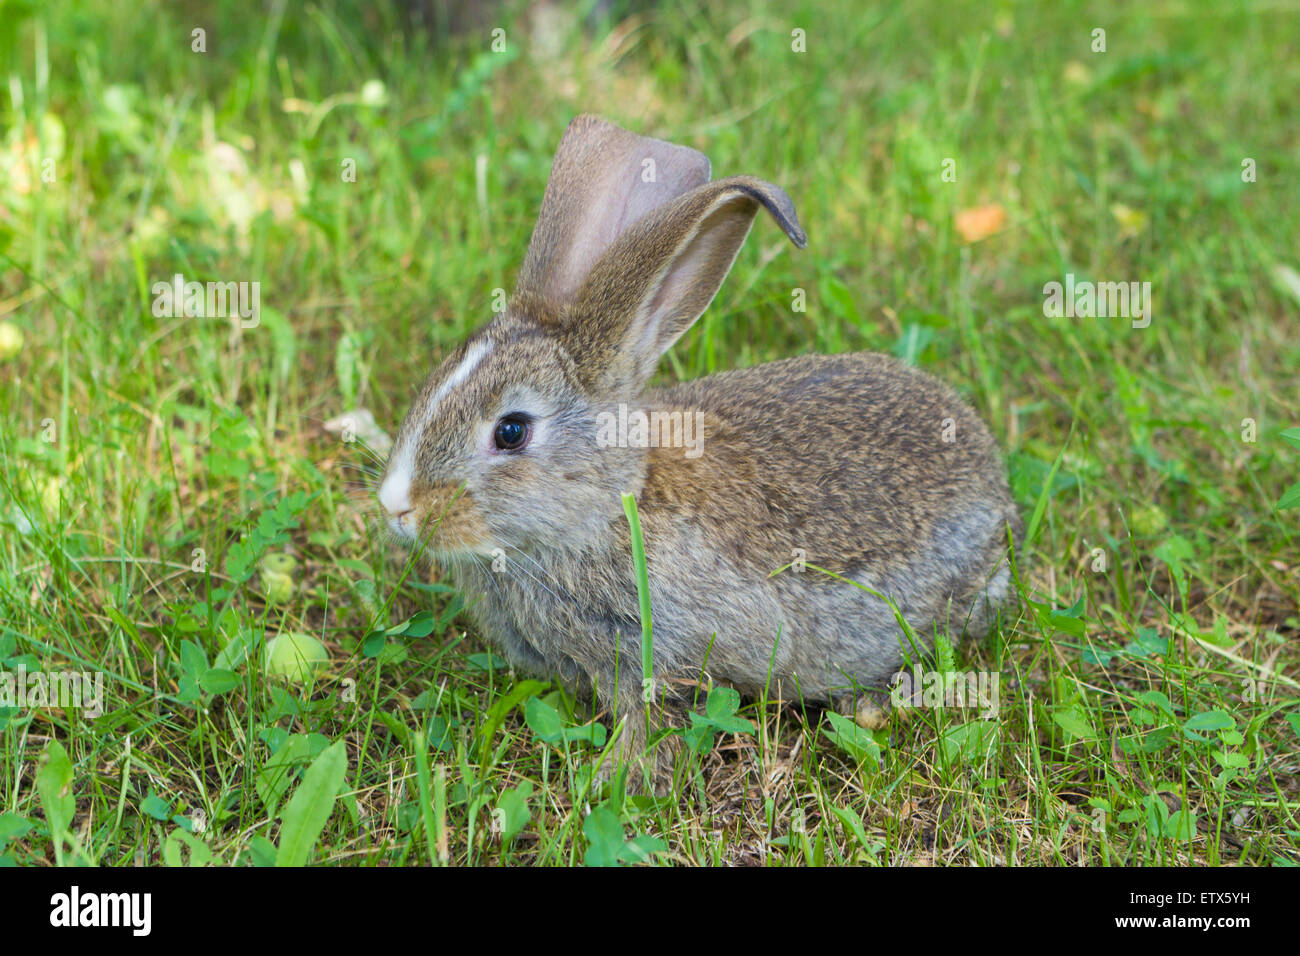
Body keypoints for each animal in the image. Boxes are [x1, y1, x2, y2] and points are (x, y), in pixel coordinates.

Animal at [378, 114, 1022, 783]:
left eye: (511, 431)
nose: (396, 507)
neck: (610, 508)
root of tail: (994, 484)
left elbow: (654, 719)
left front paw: (612, 779)